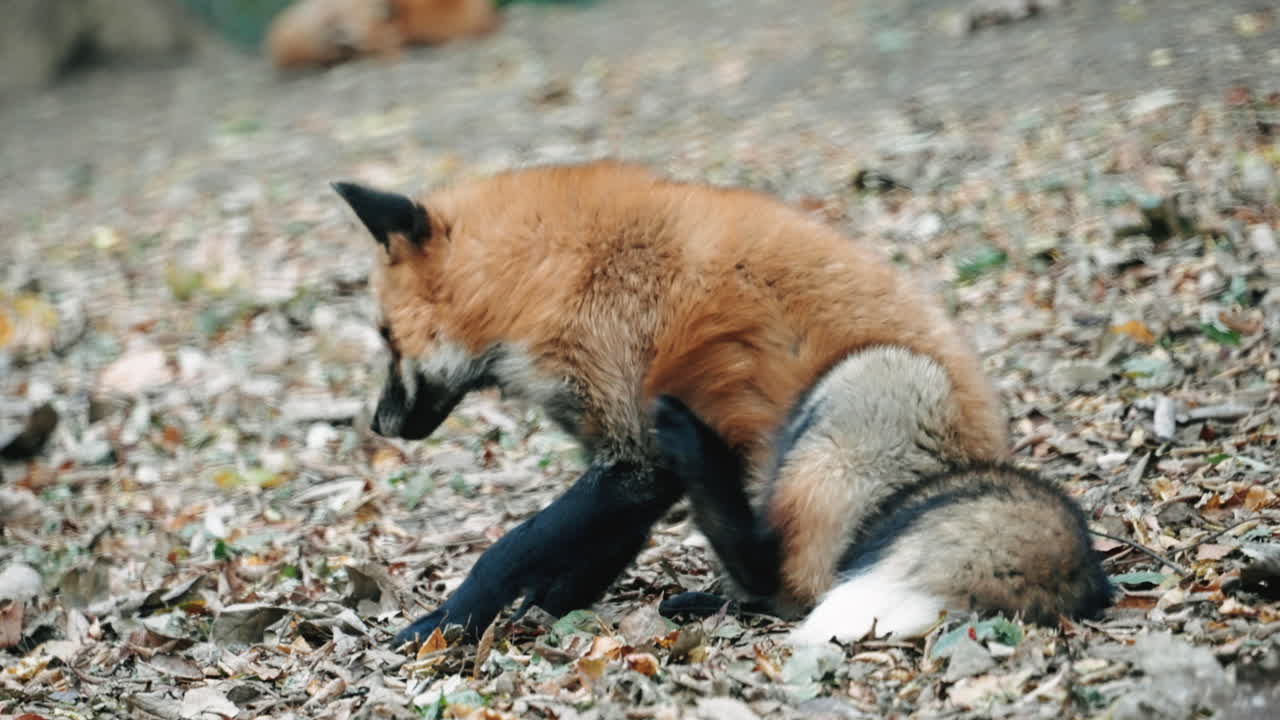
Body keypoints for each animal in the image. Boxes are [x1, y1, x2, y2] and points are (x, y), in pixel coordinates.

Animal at [329, 161, 1111, 648]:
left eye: (384, 336)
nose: (380, 425)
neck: (549, 275)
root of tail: (990, 462)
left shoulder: (633, 454)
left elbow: (509, 548)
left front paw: (443, 624)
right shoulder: (624, 466)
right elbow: (587, 555)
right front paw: (542, 611)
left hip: (865, 385)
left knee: (792, 582)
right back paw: (709, 592)